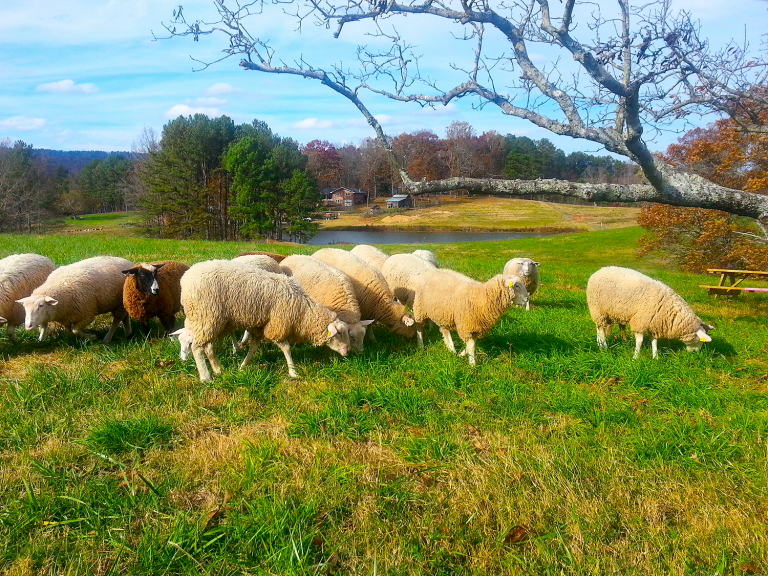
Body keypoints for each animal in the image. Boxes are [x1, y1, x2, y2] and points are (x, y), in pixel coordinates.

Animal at [178, 260, 351, 381]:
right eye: (339, 333)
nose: (348, 352)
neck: (302, 311)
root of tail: (185, 278)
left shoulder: (259, 328)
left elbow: (253, 348)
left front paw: (242, 366)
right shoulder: (277, 325)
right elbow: (286, 349)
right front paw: (293, 371)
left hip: (211, 322)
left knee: (208, 347)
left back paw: (218, 369)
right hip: (205, 317)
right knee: (197, 348)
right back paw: (206, 377)